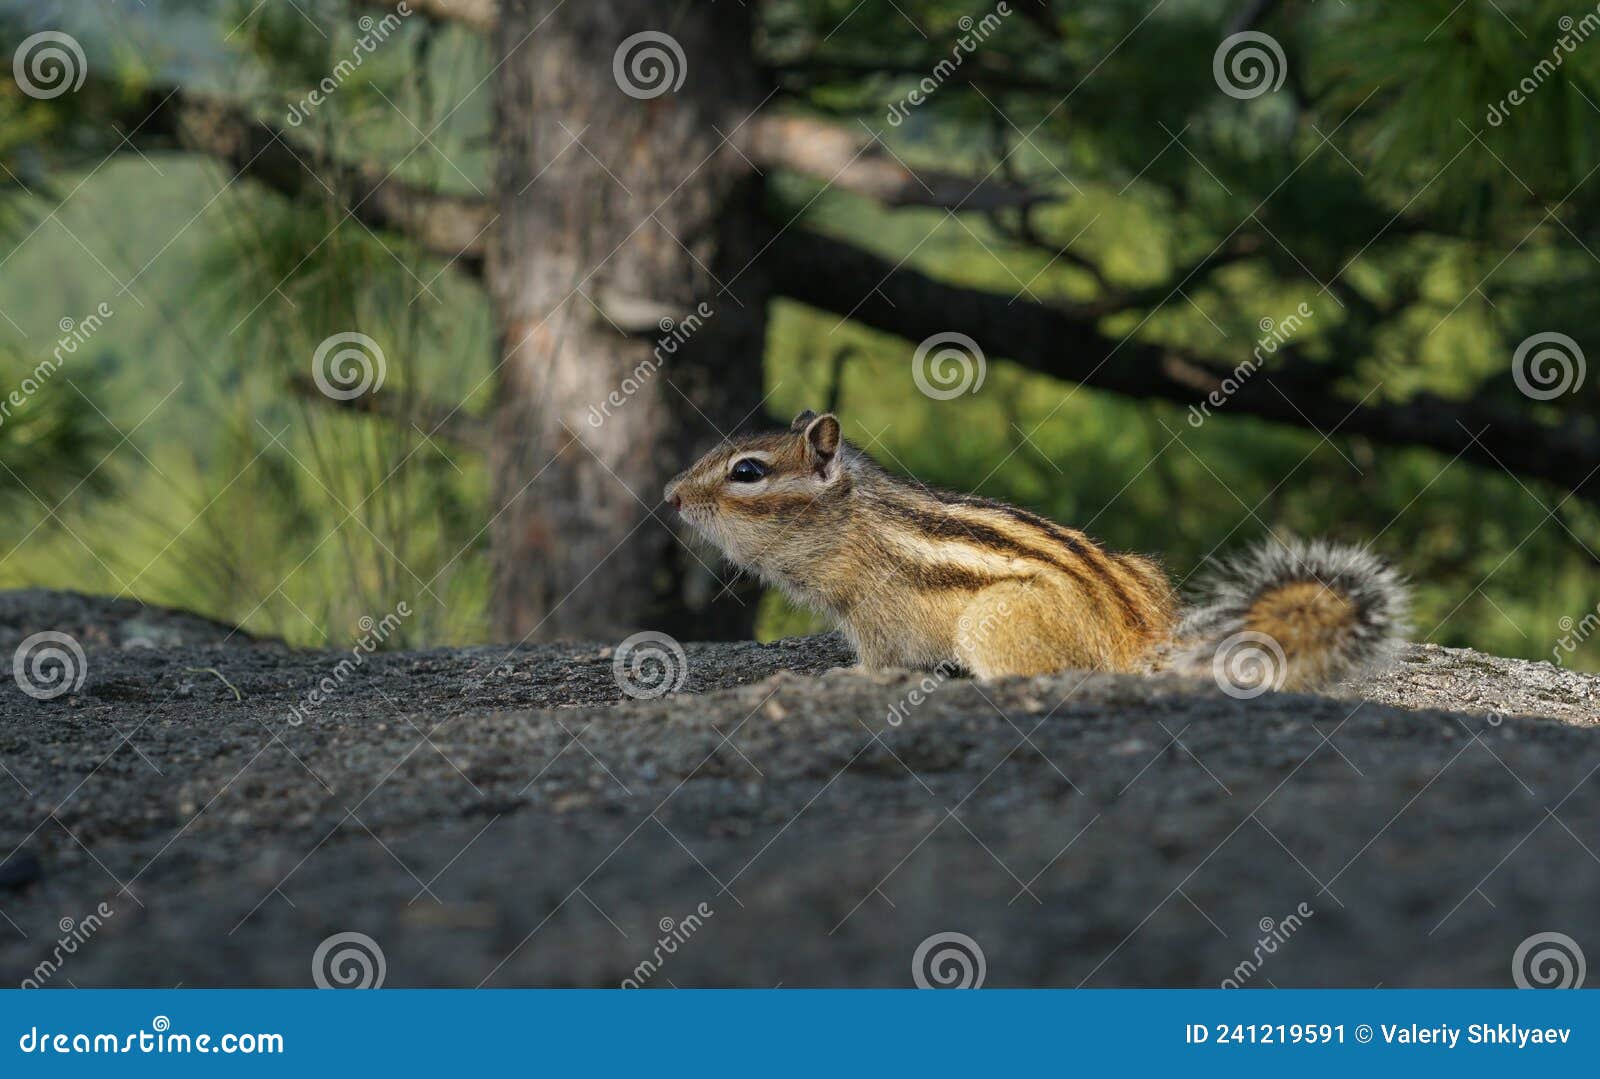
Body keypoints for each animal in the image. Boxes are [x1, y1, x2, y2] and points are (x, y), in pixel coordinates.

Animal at [663, 410, 1408, 691]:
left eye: (747, 472)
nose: (669, 495)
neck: (848, 519)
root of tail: (1137, 641)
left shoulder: (872, 611)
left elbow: (877, 663)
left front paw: (839, 679)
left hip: (993, 623)